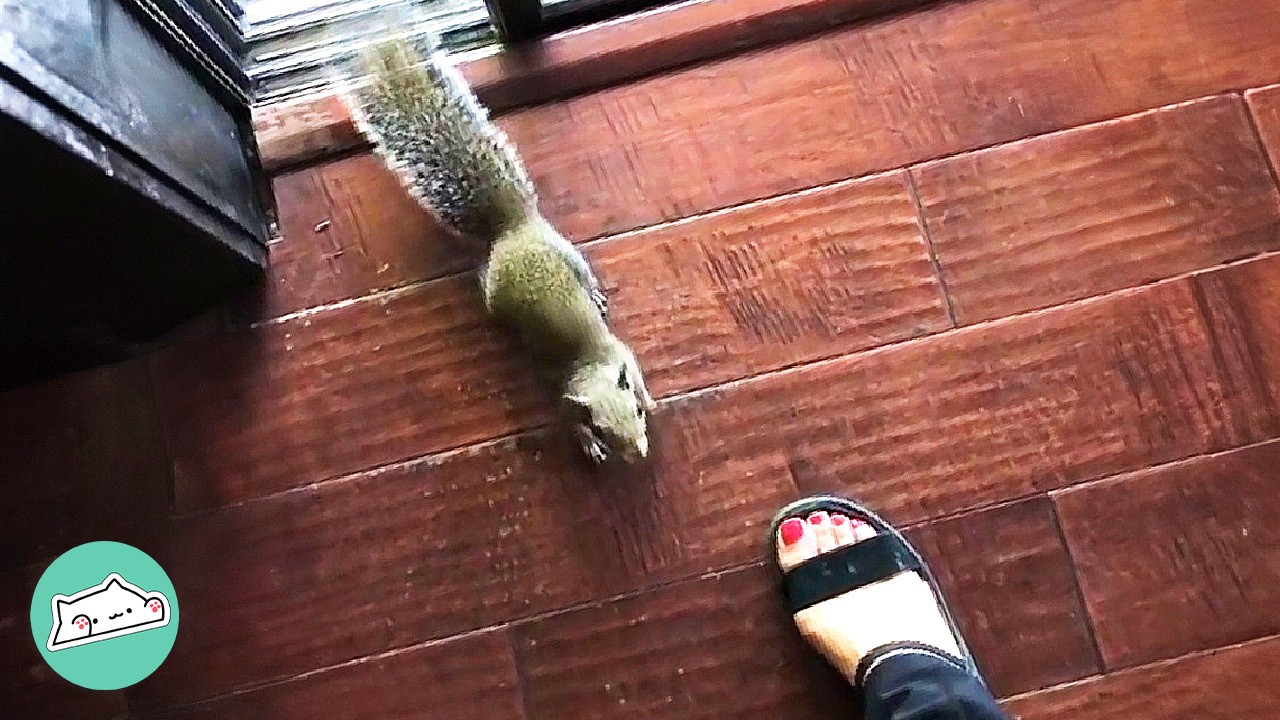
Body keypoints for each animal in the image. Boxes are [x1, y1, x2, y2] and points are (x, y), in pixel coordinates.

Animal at [338, 34, 655, 466]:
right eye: (602, 428)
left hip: (567, 252)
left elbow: (635, 374)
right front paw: (588, 443)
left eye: (635, 412)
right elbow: (566, 418)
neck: (588, 362)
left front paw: (650, 398)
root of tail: (511, 230)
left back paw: (594, 293)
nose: (639, 453)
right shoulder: (563, 390)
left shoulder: (619, 354)